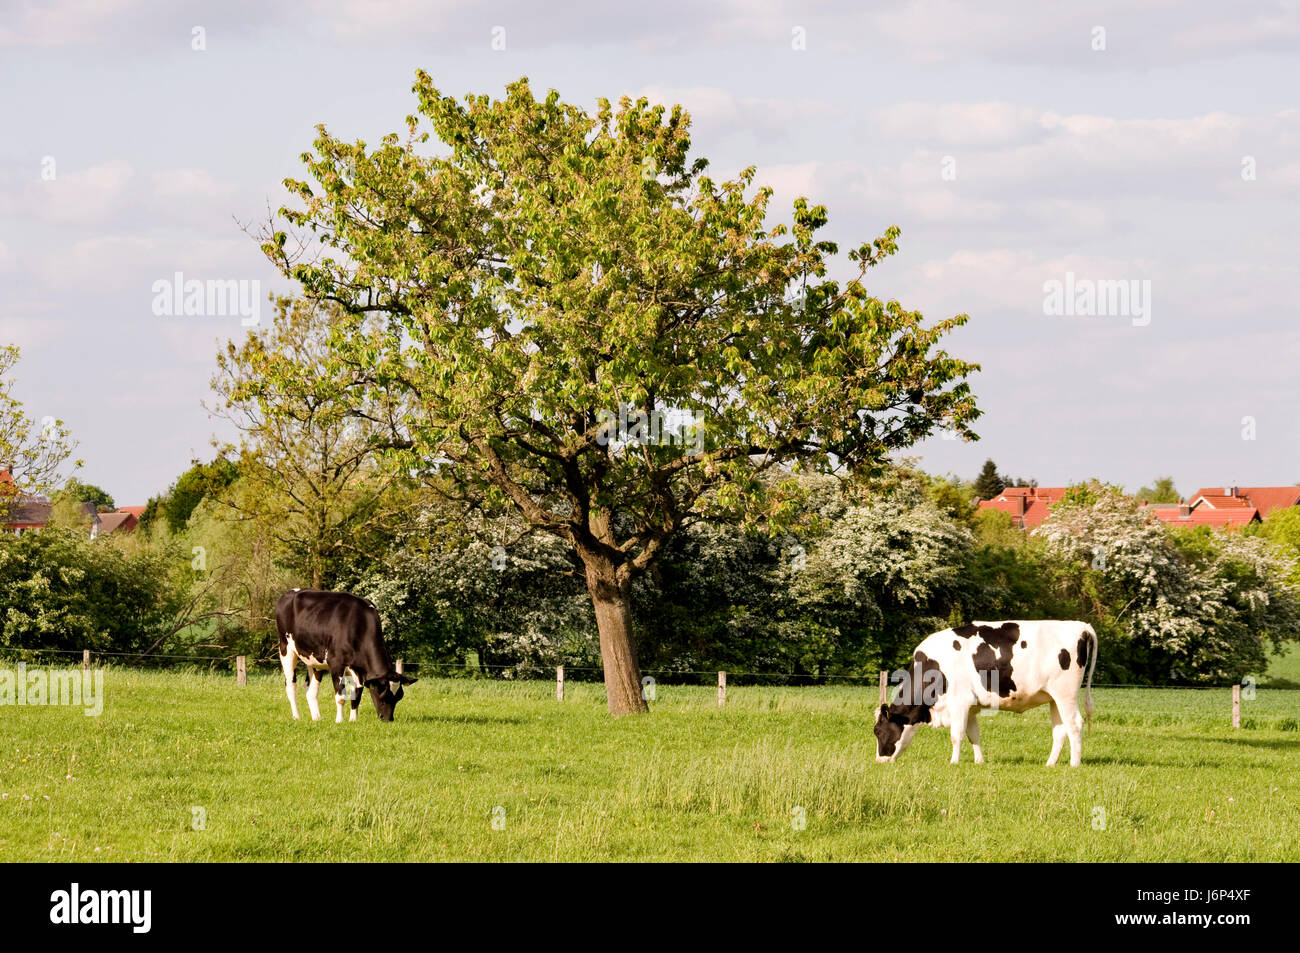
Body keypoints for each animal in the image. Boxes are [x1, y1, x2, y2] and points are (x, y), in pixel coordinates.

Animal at [275, 589, 417, 722]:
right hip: (286, 649)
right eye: (382, 695)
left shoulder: (359, 671)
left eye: (399, 697)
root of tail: (289, 593)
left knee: (311, 690)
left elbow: (357, 696)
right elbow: (341, 696)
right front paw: (339, 720)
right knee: (291, 686)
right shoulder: (336, 664)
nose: (388, 719)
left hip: (314, 659)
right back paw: (296, 717)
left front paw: (353, 720)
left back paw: (316, 718)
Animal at [873, 620, 1097, 766]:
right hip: (1054, 698)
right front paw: (979, 761)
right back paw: (1050, 763)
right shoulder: (971, 706)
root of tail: (1082, 625)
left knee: (1075, 724)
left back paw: (1074, 764)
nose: (879, 760)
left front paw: (954, 762)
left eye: (878, 731)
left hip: (1066, 694)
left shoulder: (959, 701)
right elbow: (973, 735)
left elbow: (956, 735)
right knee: (1060, 729)